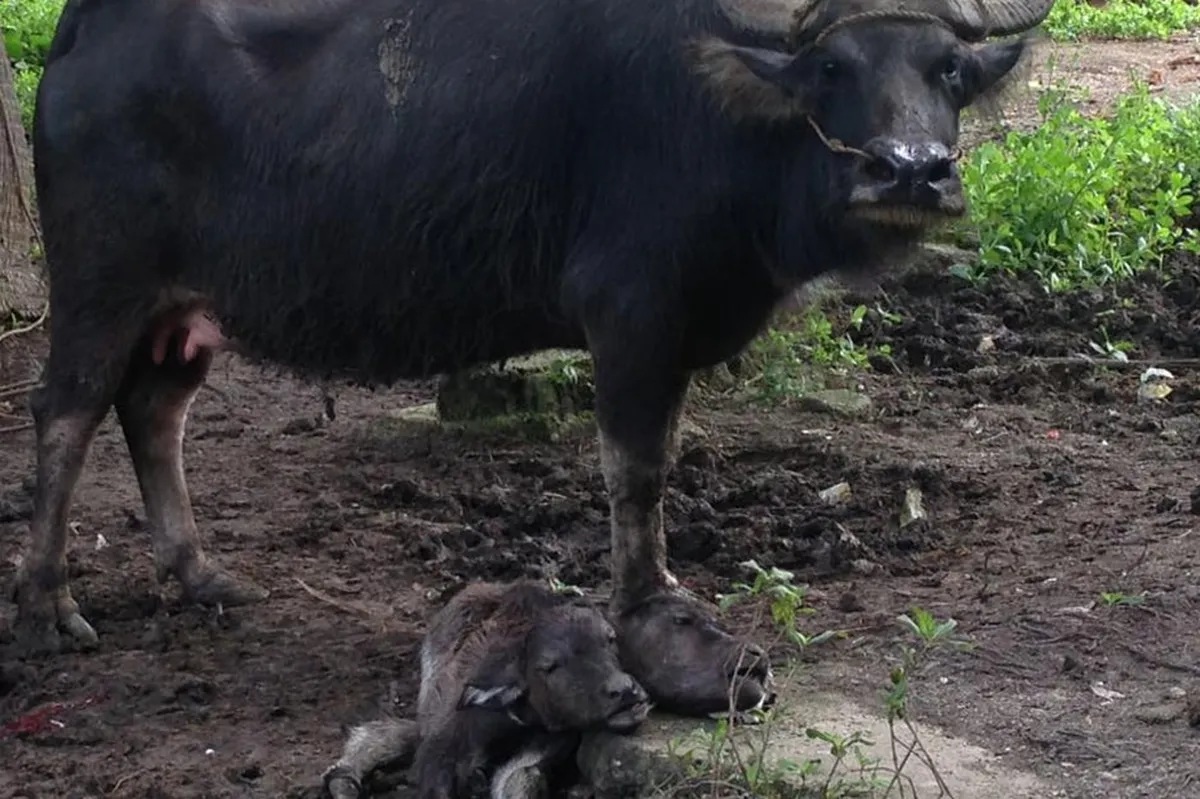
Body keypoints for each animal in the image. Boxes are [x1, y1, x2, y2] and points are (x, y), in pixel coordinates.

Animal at [12, 0, 1053, 714]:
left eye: (948, 69)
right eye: (834, 62)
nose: (910, 171)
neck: (729, 122)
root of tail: (79, 34)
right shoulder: (632, 314)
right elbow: (637, 473)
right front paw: (658, 631)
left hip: (185, 307)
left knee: (154, 410)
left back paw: (200, 573)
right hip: (100, 284)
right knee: (64, 415)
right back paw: (45, 607)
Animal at [320, 581, 656, 799]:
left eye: (609, 639)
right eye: (549, 665)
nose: (625, 691)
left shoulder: (545, 744)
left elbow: (514, 780)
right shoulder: (441, 746)